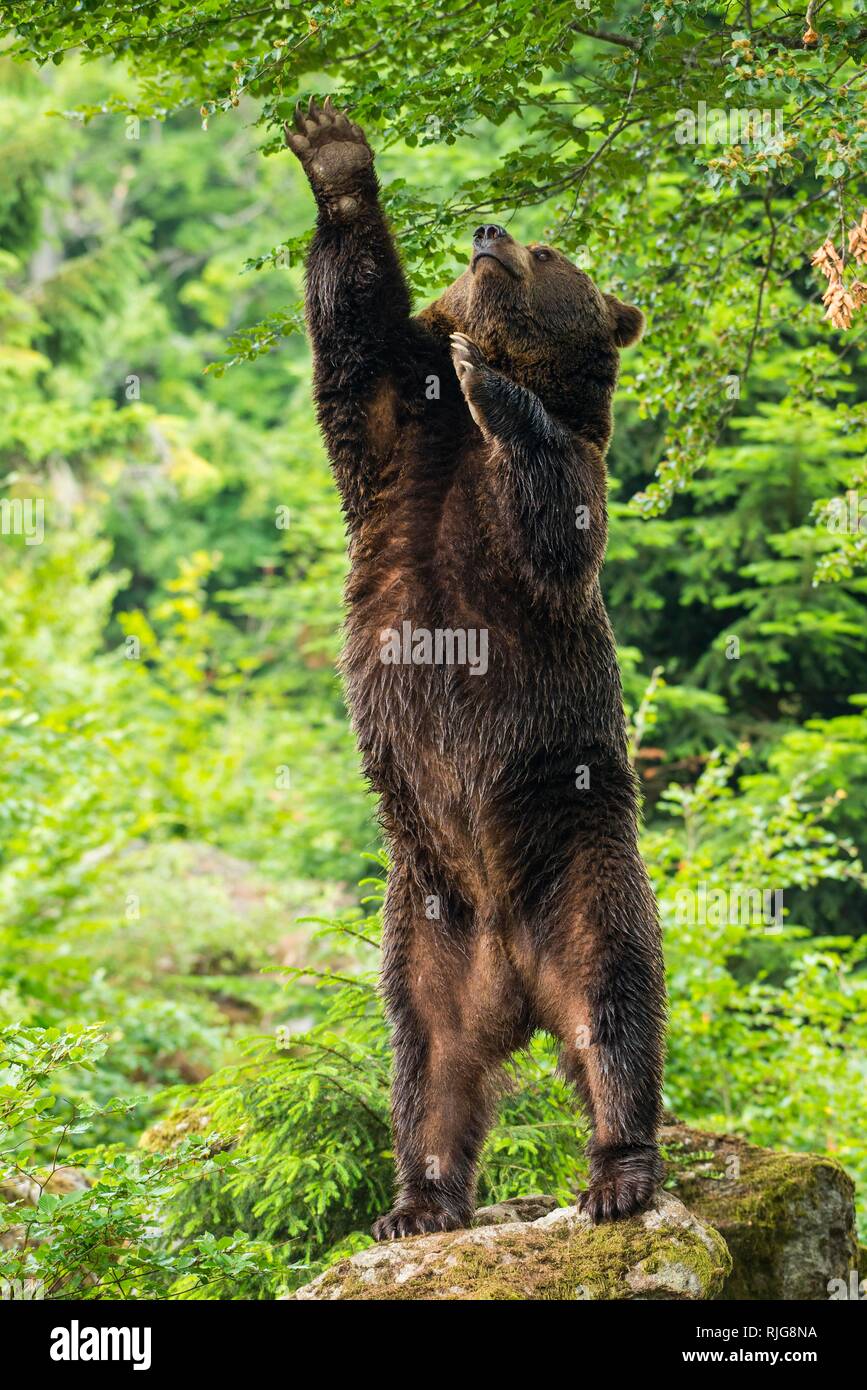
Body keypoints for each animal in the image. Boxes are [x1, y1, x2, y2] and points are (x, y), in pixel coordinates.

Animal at [287, 97, 666, 1234]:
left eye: (552, 253)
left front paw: (494, 379)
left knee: (617, 1013)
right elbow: (354, 335)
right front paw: (334, 154)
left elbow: (552, 508)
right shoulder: (396, 442)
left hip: (586, 865)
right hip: (420, 930)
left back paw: (619, 1173)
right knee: (426, 1069)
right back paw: (417, 1200)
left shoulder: (556, 494)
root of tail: (516, 977)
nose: (491, 231)